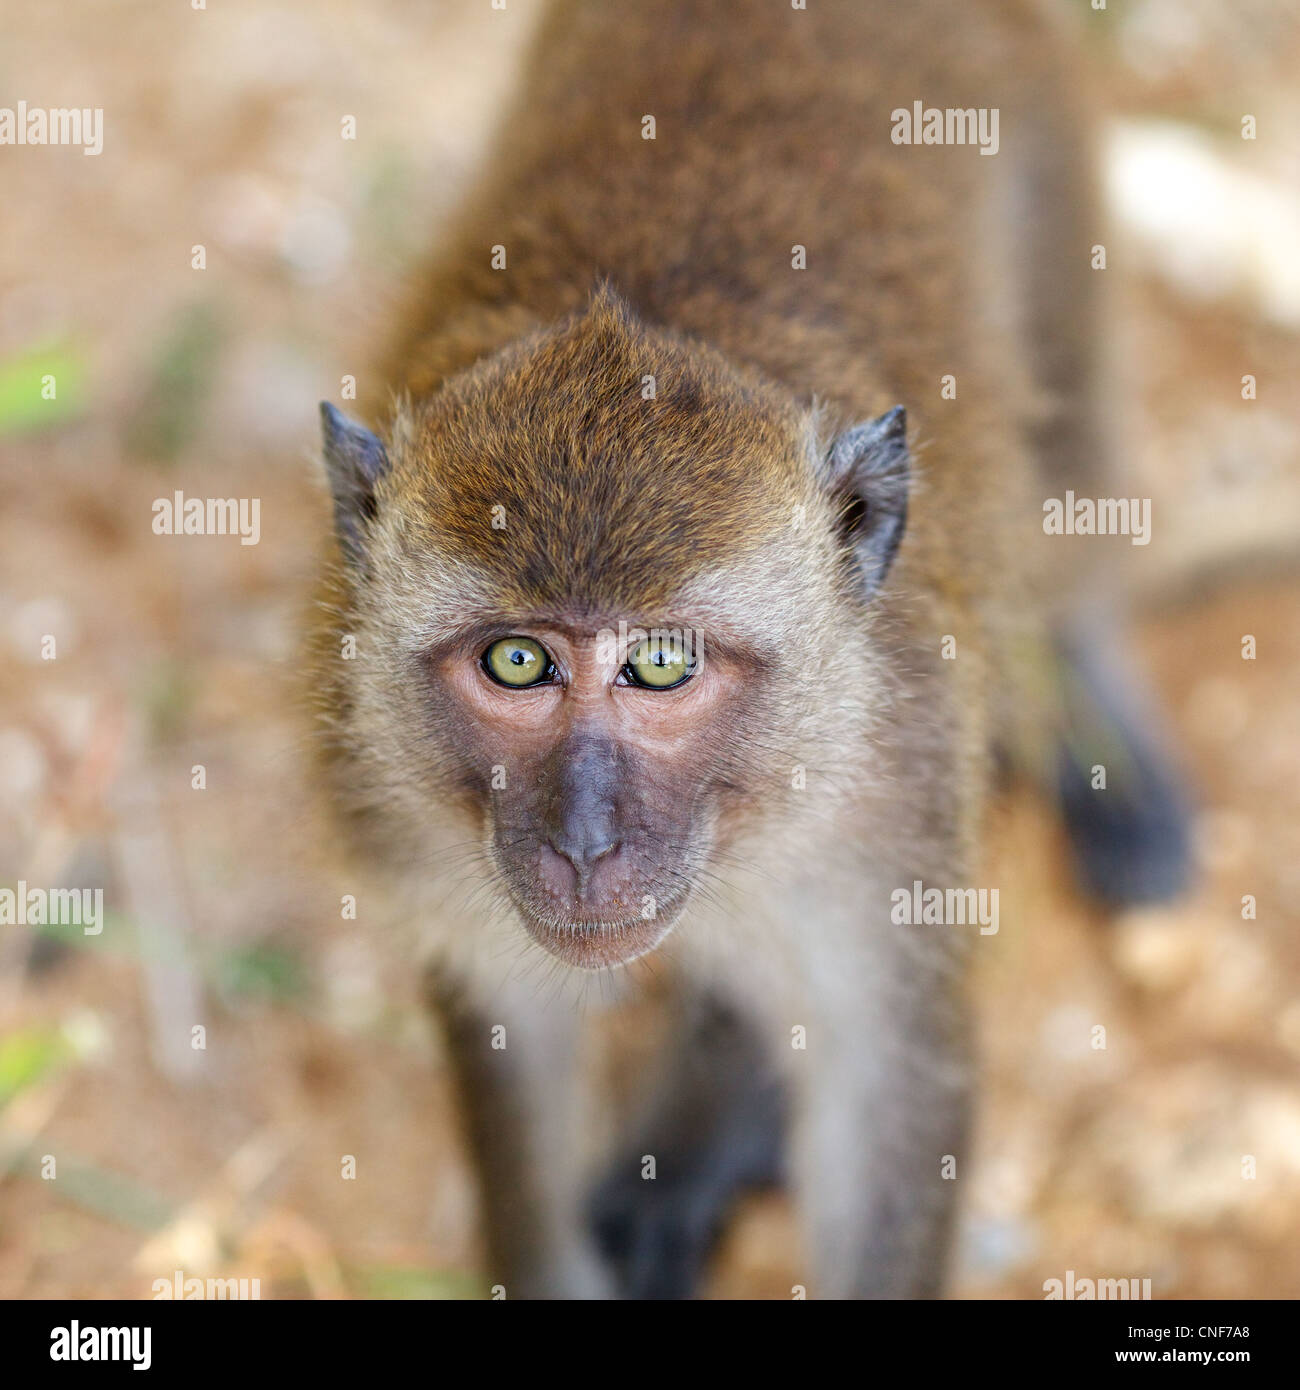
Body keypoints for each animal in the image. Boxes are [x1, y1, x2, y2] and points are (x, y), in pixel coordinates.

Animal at [307, 0, 1190, 1298]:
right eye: (516, 663)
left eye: (661, 664)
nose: (584, 842)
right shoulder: (400, 802)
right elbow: (514, 1034)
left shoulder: (894, 790)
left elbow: (884, 1101)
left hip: (1048, 164)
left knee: (1068, 451)